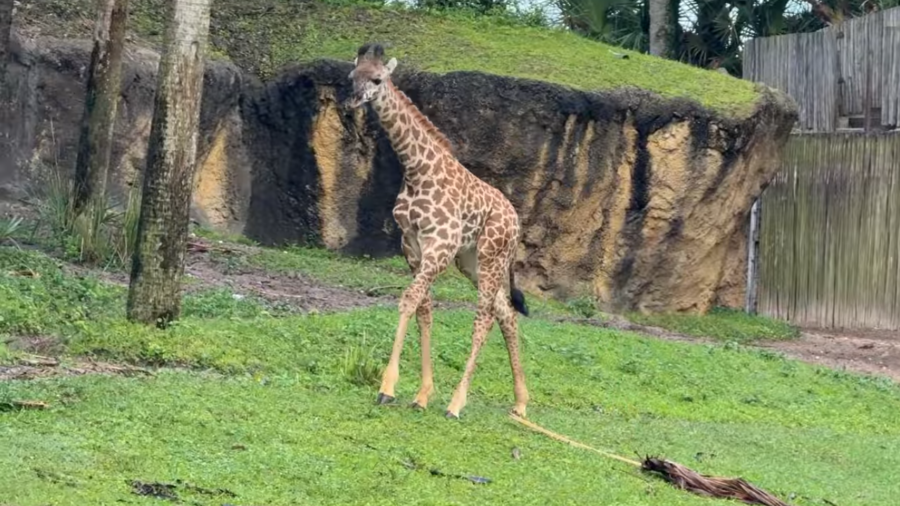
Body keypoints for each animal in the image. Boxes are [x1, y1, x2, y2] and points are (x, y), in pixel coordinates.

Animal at [345, 43, 530, 419]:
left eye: (378, 79)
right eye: (351, 76)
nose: (353, 101)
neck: (417, 170)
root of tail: (516, 223)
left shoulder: (439, 246)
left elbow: (408, 300)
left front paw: (387, 388)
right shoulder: (413, 246)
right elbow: (424, 309)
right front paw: (421, 394)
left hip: (491, 257)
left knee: (485, 316)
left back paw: (457, 404)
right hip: (471, 261)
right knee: (505, 312)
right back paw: (520, 402)